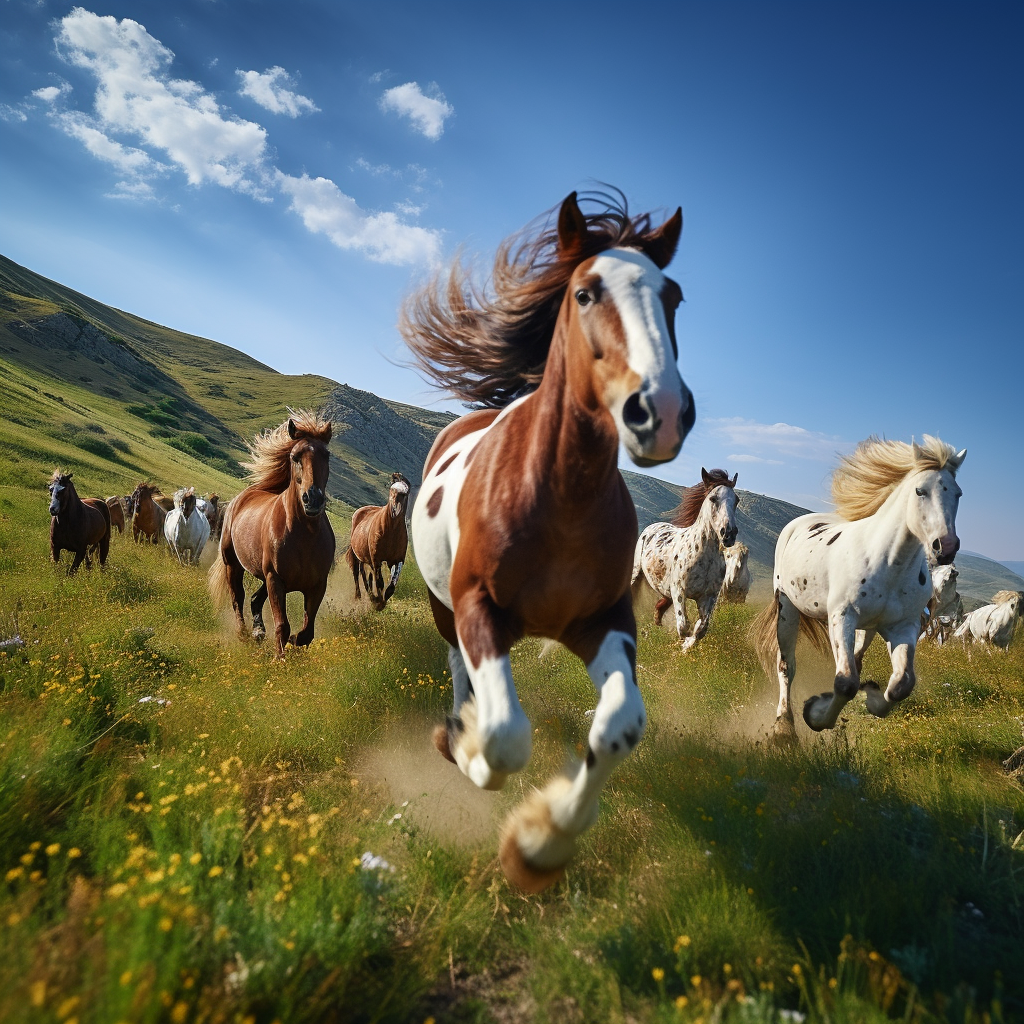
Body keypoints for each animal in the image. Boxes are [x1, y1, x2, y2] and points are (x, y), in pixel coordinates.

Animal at [209, 411, 335, 659]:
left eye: (327, 456)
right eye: (295, 457)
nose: (313, 499)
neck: (305, 537)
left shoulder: (317, 585)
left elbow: (307, 631)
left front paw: (294, 643)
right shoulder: (276, 580)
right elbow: (282, 625)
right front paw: (280, 658)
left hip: (262, 574)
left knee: (255, 599)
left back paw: (258, 632)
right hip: (234, 565)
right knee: (238, 598)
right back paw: (244, 635)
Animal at [344, 473, 410, 610]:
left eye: (405, 493)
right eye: (392, 490)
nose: (395, 510)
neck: (391, 531)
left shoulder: (398, 560)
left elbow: (392, 583)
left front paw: (382, 600)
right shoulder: (377, 559)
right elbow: (379, 581)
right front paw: (378, 603)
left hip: (366, 558)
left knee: (364, 573)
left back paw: (371, 595)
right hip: (357, 555)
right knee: (357, 572)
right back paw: (360, 596)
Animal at [402, 190, 694, 890]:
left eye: (672, 297)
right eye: (585, 293)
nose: (663, 412)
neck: (561, 497)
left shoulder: (603, 622)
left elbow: (620, 726)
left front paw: (542, 844)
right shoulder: (478, 606)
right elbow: (506, 735)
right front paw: (469, 748)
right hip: (445, 609)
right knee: (459, 669)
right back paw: (456, 729)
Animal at [630, 469, 739, 650]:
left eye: (736, 500)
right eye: (713, 498)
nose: (729, 533)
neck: (704, 558)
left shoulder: (708, 597)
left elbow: (700, 629)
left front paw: (687, 647)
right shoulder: (679, 592)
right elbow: (683, 626)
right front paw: (681, 644)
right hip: (636, 574)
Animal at [750, 435, 966, 739]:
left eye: (958, 494)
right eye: (920, 491)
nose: (945, 547)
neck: (888, 563)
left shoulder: (903, 626)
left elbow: (901, 684)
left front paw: (872, 697)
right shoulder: (842, 617)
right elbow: (845, 682)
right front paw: (815, 715)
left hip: (868, 627)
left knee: (857, 659)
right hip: (788, 609)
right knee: (786, 666)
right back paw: (785, 728)